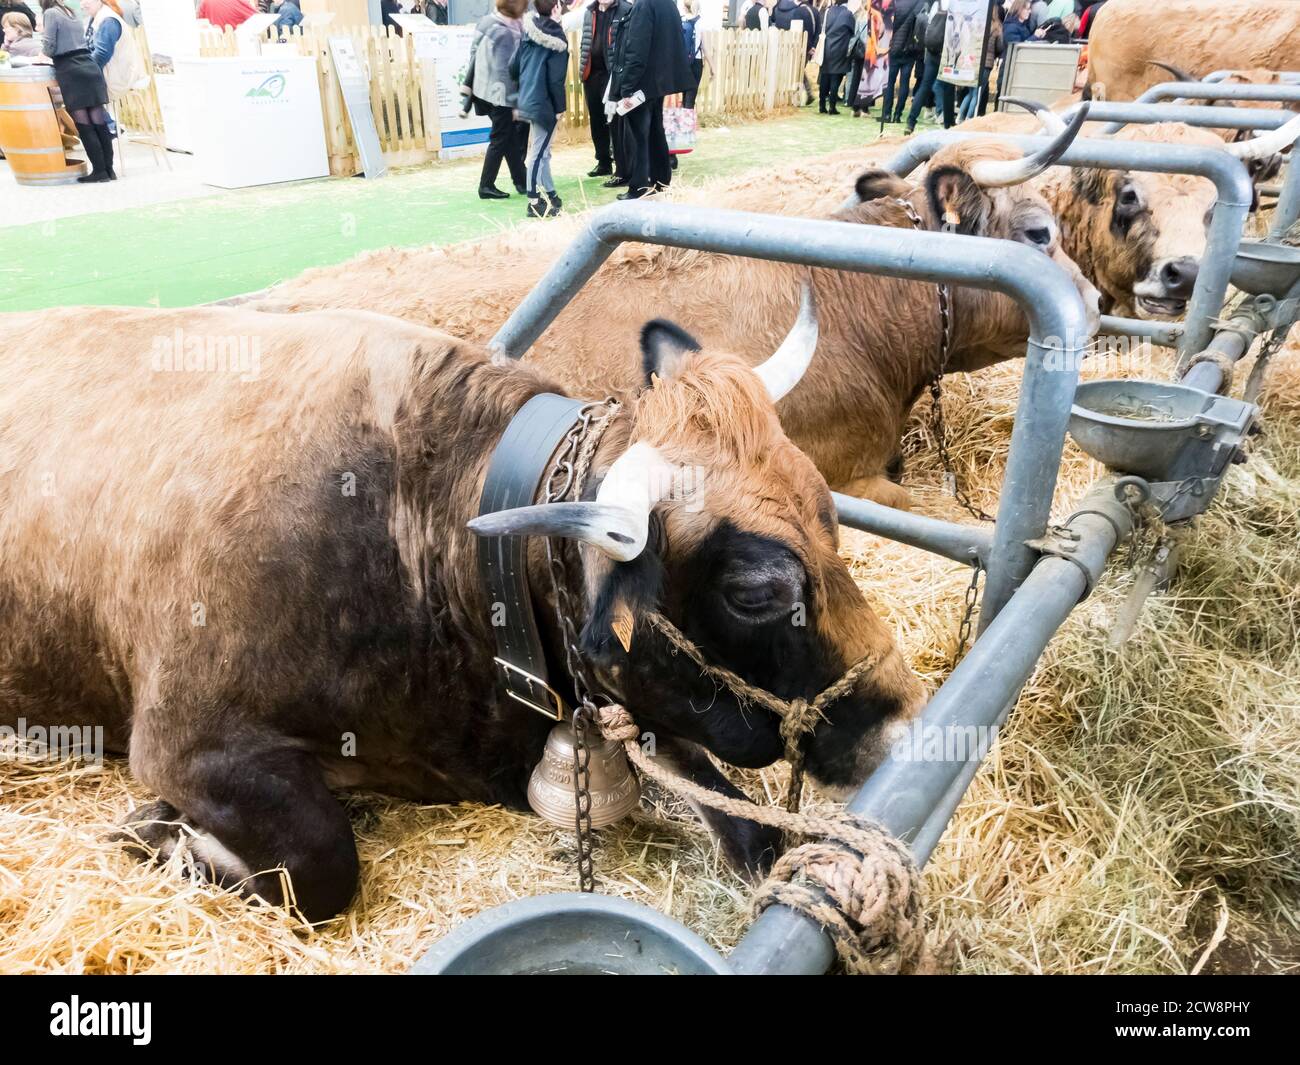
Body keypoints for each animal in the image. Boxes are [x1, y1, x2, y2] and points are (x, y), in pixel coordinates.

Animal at [0, 303, 925, 922]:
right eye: (757, 591)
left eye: (831, 513)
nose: (906, 722)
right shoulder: (186, 738)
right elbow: (319, 863)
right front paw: (161, 832)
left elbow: (755, 831)